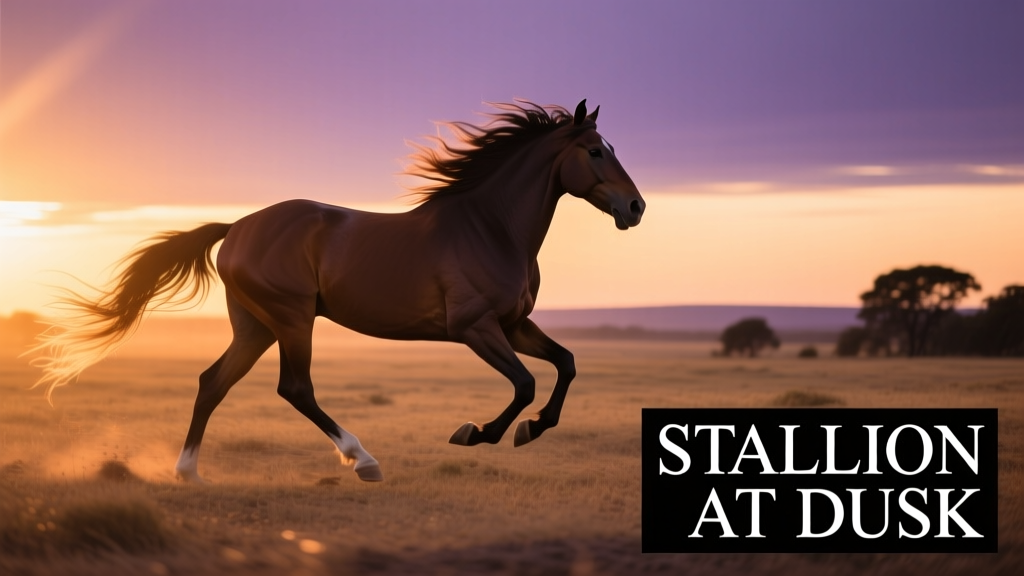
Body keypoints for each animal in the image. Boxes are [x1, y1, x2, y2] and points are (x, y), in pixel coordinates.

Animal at [32, 100, 645, 483]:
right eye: (595, 151)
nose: (636, 207)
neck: (489, 227)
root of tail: (237, 227)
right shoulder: (474, 328)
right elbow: (523, 383)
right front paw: (477, 433)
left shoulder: (514, 325)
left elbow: (565, 364)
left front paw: (532, 428)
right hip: (292, 318)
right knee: (294, 387)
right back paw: (363, 460)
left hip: (256, 325)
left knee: (213, 382)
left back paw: (188, 473)